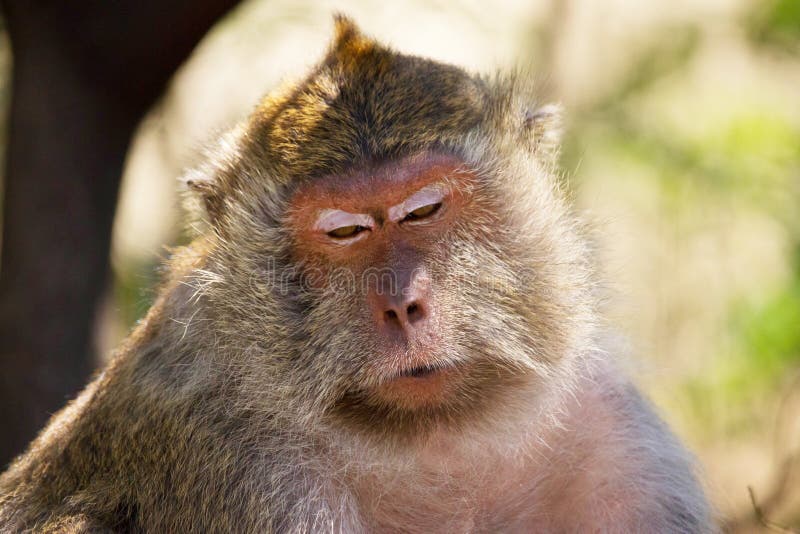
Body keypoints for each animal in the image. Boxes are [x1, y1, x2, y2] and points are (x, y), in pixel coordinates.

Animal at [0, 16, 713, 533]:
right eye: (344, 232)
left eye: (423, 210)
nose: (403, 303)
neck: (435, 443)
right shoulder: (242, 469)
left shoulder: (618, 436)